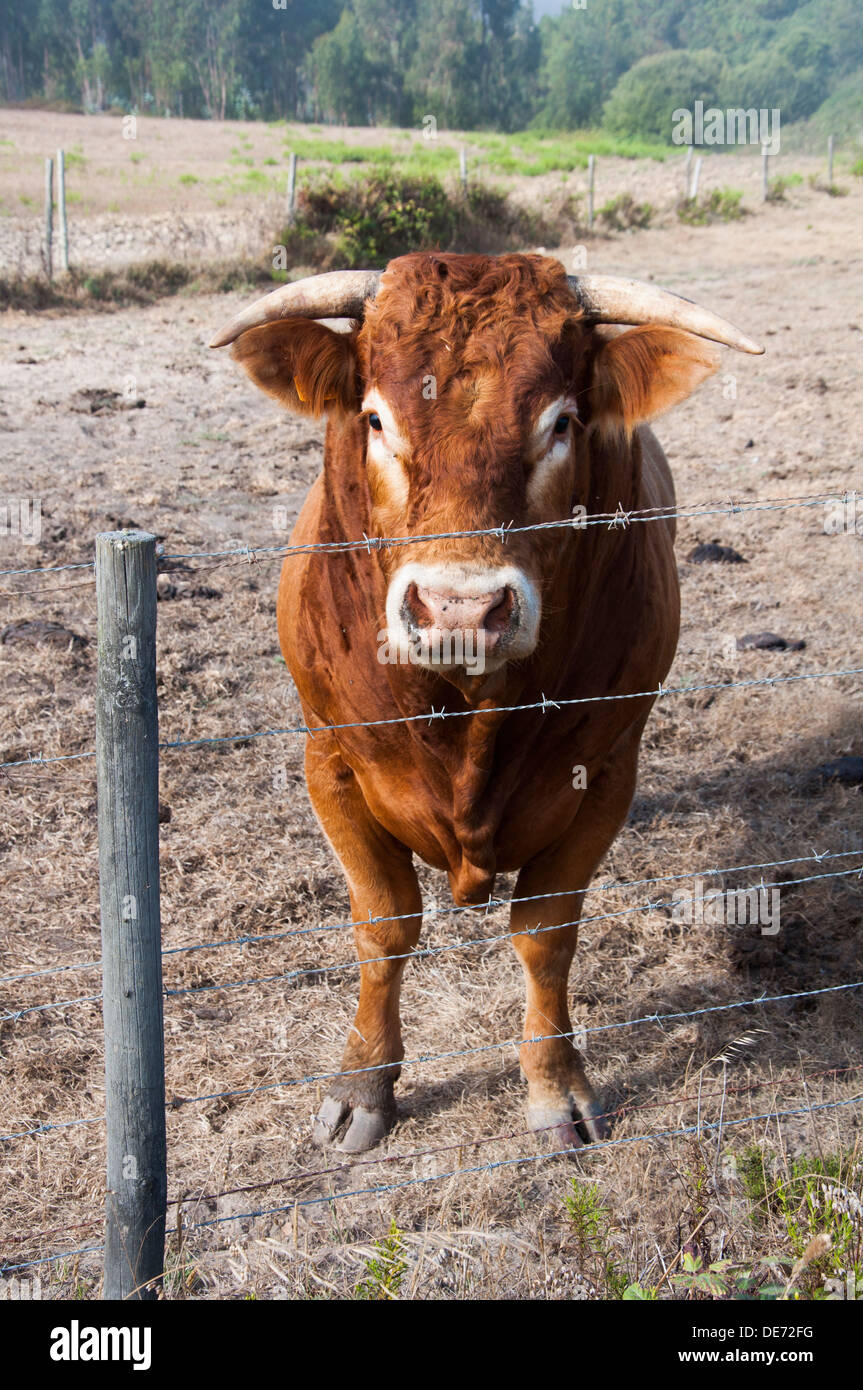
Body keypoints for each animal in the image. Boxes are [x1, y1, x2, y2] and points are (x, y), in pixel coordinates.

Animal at [211, 254, 762, 1154]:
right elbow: (384, 926)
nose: (459, 608)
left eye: (562, 423)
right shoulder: (329, 758)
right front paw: (362, 1086)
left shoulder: (605, 772)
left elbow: (543, 933)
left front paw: (553, 1085)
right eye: (373, 418)